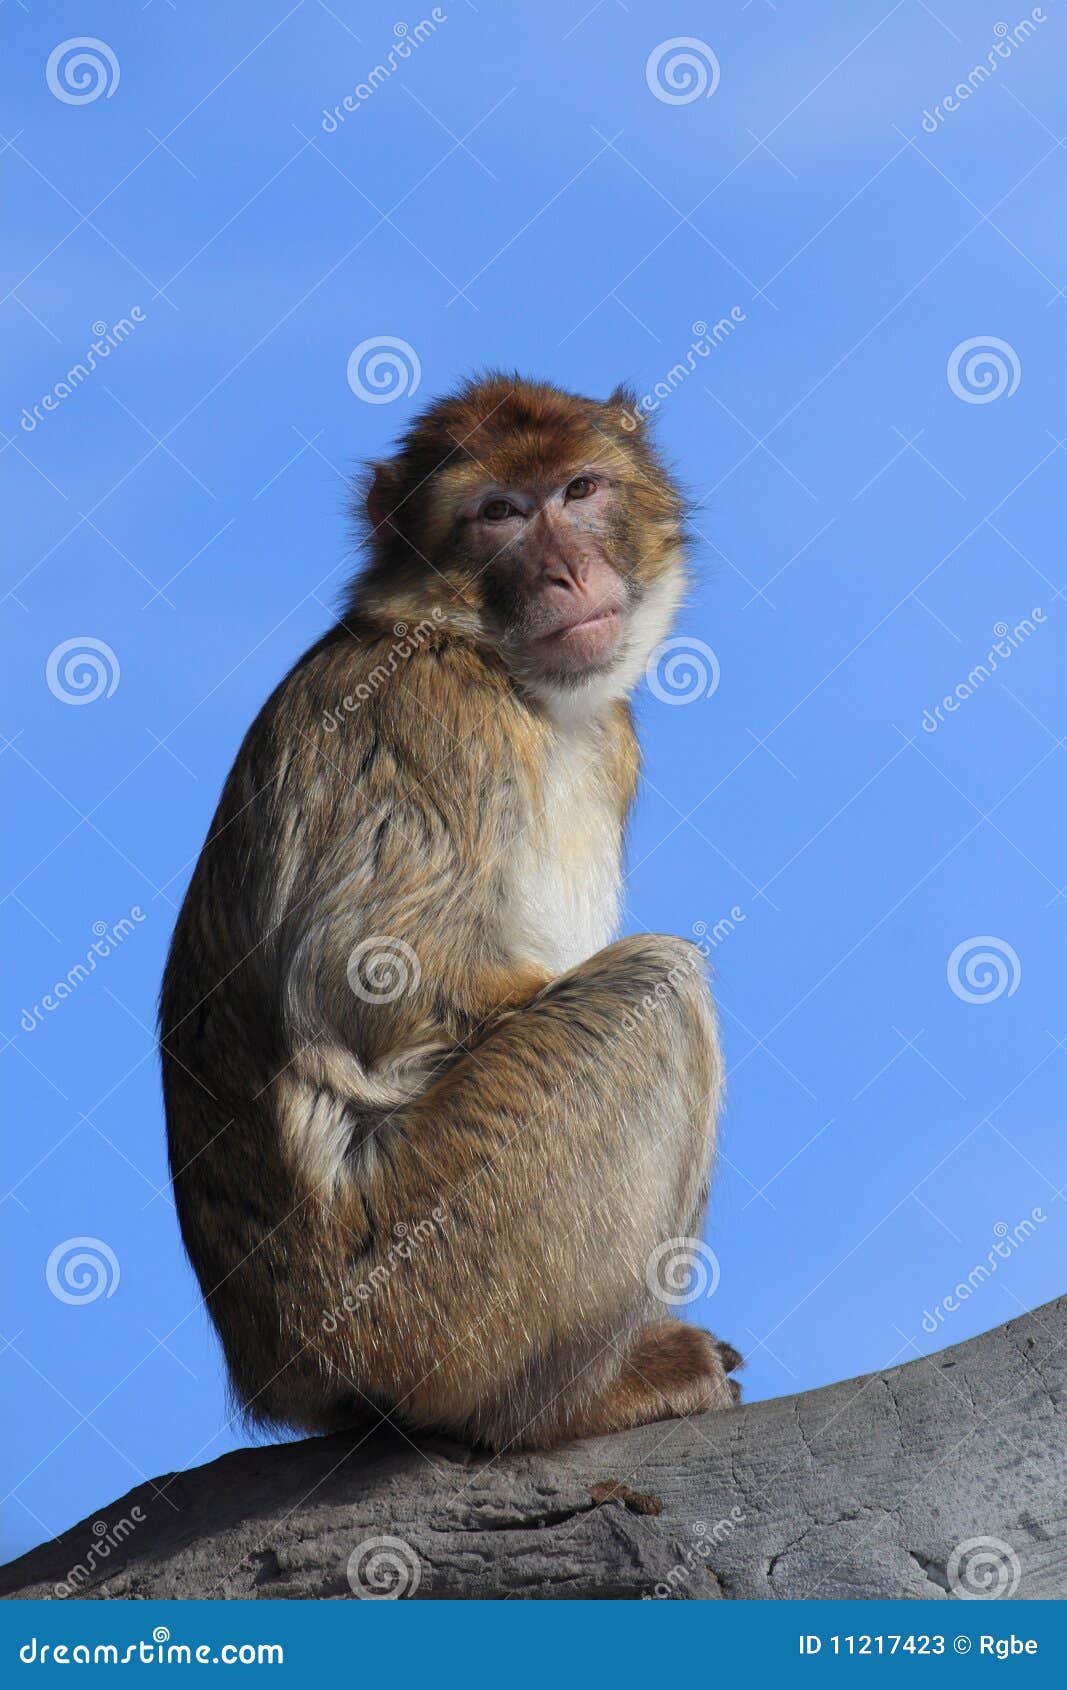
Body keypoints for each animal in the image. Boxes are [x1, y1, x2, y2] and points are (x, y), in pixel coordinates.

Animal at [160, 373, 741, 1452]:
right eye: (498, 514)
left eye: (580, 489)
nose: (564, 571)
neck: (506, 675)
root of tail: (281, 1376)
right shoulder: (430, 715)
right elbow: (368, 985)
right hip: (425, 1279)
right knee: (656, 990)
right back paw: (567, 1402)